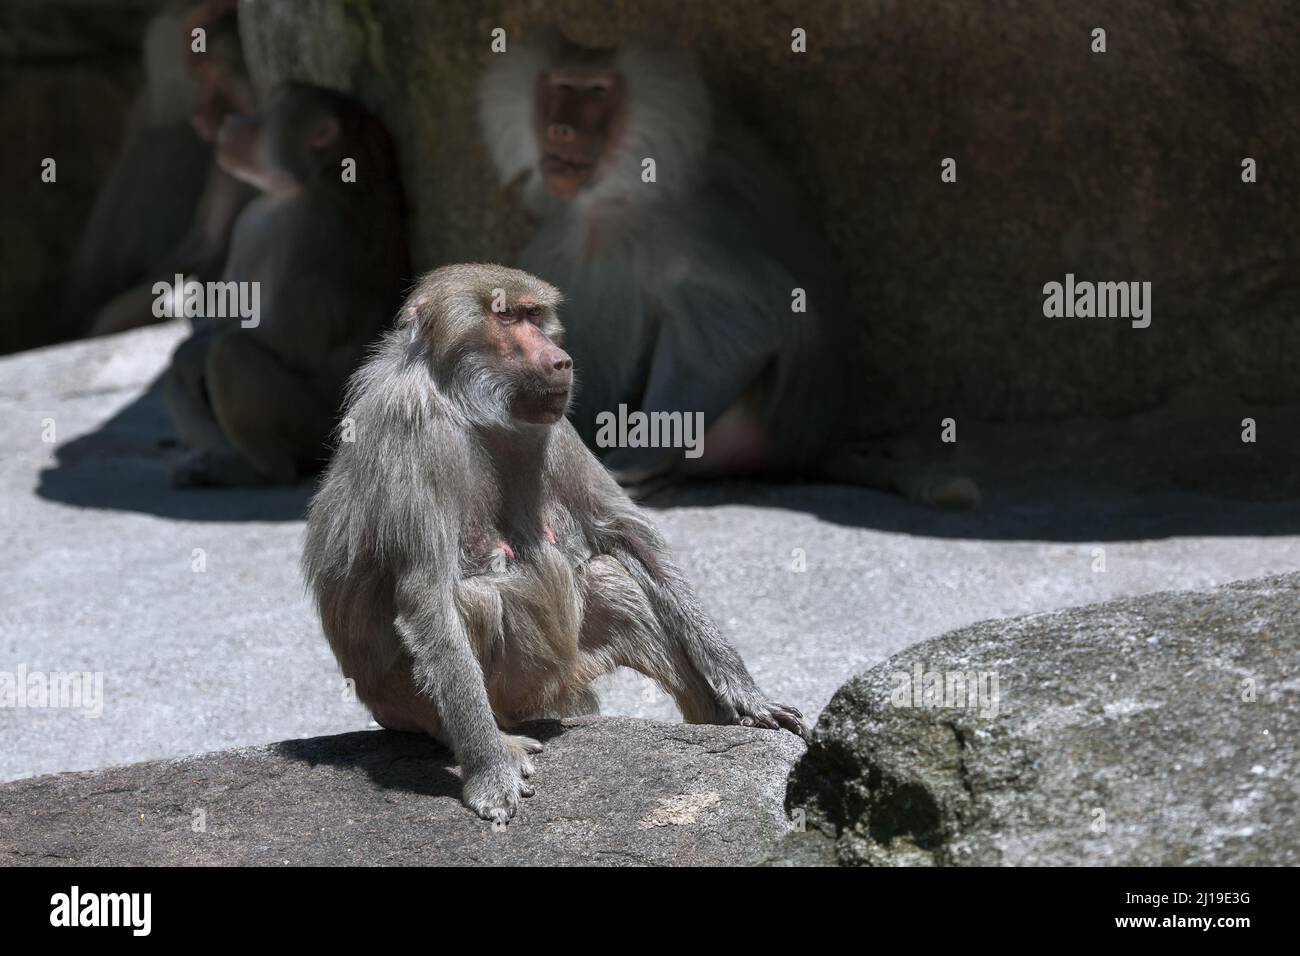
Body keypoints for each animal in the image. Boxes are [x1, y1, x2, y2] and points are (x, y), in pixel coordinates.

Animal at [162, 82, 409, 487]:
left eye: (264, 117)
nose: (232, 122)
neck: (314, 182)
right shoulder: (252, 223)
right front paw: (191, 353)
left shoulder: (296, 231)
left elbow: (295, 341)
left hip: (314, 423)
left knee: (230, 355)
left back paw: (260, 470)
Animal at [302, 263, 808, 824]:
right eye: (505, 316)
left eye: (535, 315)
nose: (561, 360)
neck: (466, 405)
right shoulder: (410, 430)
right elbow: (427, 597)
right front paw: (490, 773)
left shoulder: (555, 423)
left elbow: (629, 537)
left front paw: (746, 694)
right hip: (414, 703)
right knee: (476, 599)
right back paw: (493, 741)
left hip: (554, 679)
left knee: (611, 581)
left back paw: (720, 722)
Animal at [478, 37, 978, 509]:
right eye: (560, 87)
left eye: (596, 92)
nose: (560, 129)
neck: (620, 193)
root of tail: (814, 448)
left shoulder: (684, 229)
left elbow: (744, 326)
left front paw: (631, 460)